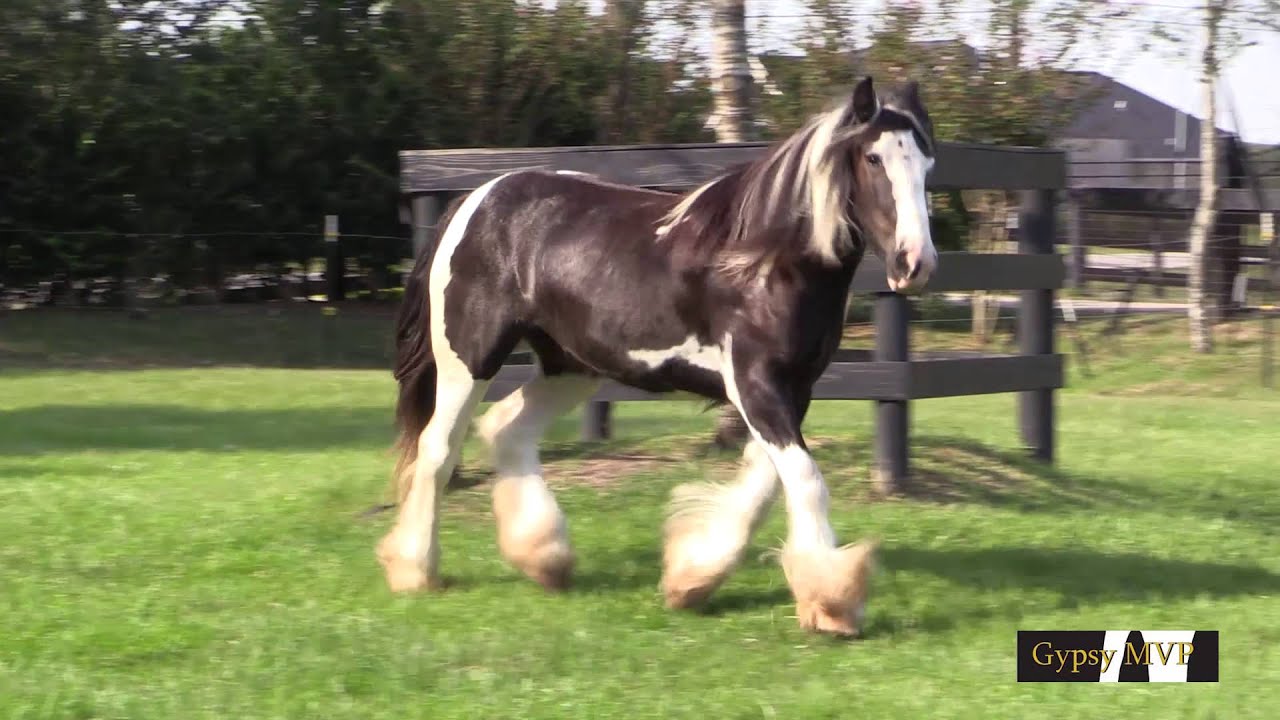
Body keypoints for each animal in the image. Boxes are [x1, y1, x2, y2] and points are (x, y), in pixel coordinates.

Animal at [376, 76, 938, 637]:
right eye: (873, 158)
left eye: (928, 163)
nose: (915, 264)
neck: (765, 262)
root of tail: (475, 200)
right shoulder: (754, 384)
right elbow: (804, 482)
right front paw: (832, 605)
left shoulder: (792, 389)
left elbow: (762, 488)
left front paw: (692, 580)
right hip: (469, 359)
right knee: (437, 450)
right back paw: (416, 571)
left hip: (571, 366)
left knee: (508, 428)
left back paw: (545, 559)